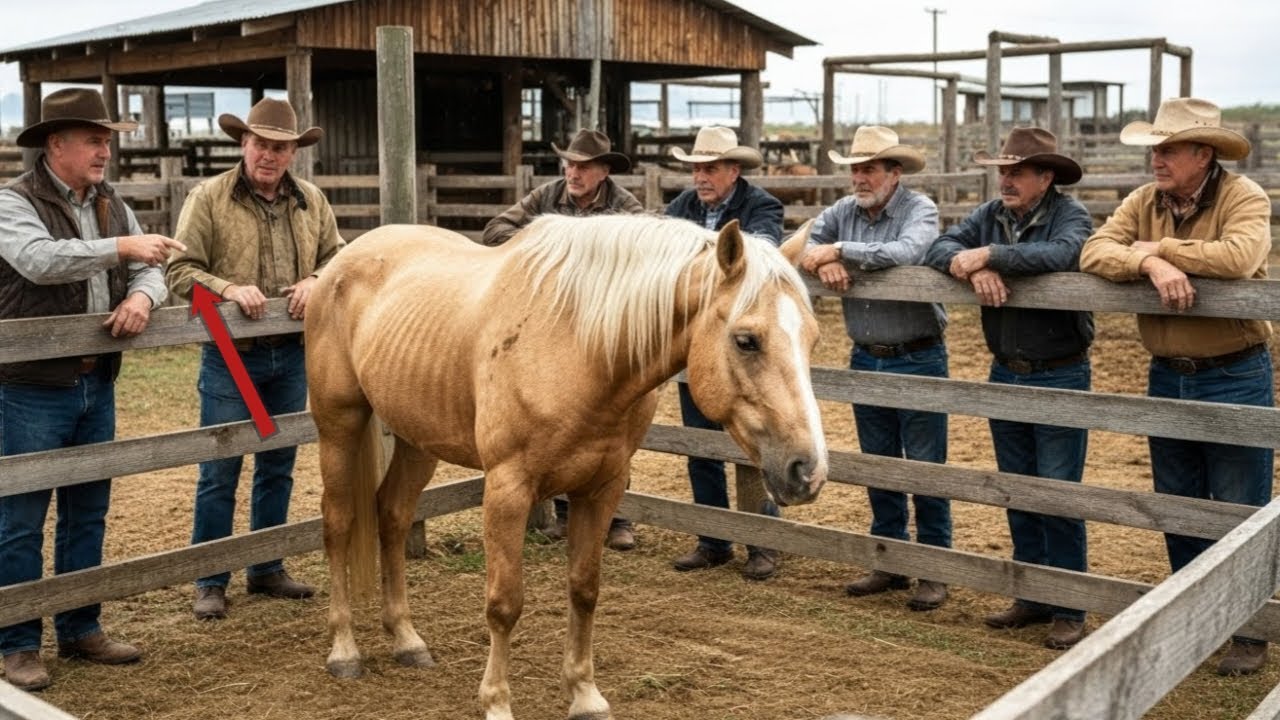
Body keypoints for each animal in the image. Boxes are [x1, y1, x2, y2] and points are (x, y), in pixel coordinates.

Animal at [303, 213, 829, 720]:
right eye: (746, 340)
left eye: (812, 338)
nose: (808, 470)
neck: (578, 347)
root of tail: (341, 262)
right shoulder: (508, 489)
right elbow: (504, 603)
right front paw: (497, 702)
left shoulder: (601, 488)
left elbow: (584, 589)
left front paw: (584, 695)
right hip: (339, 426)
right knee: (339, 523)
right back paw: (344, 650)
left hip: (418, 440)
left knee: (392, 517)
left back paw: (406, 639)